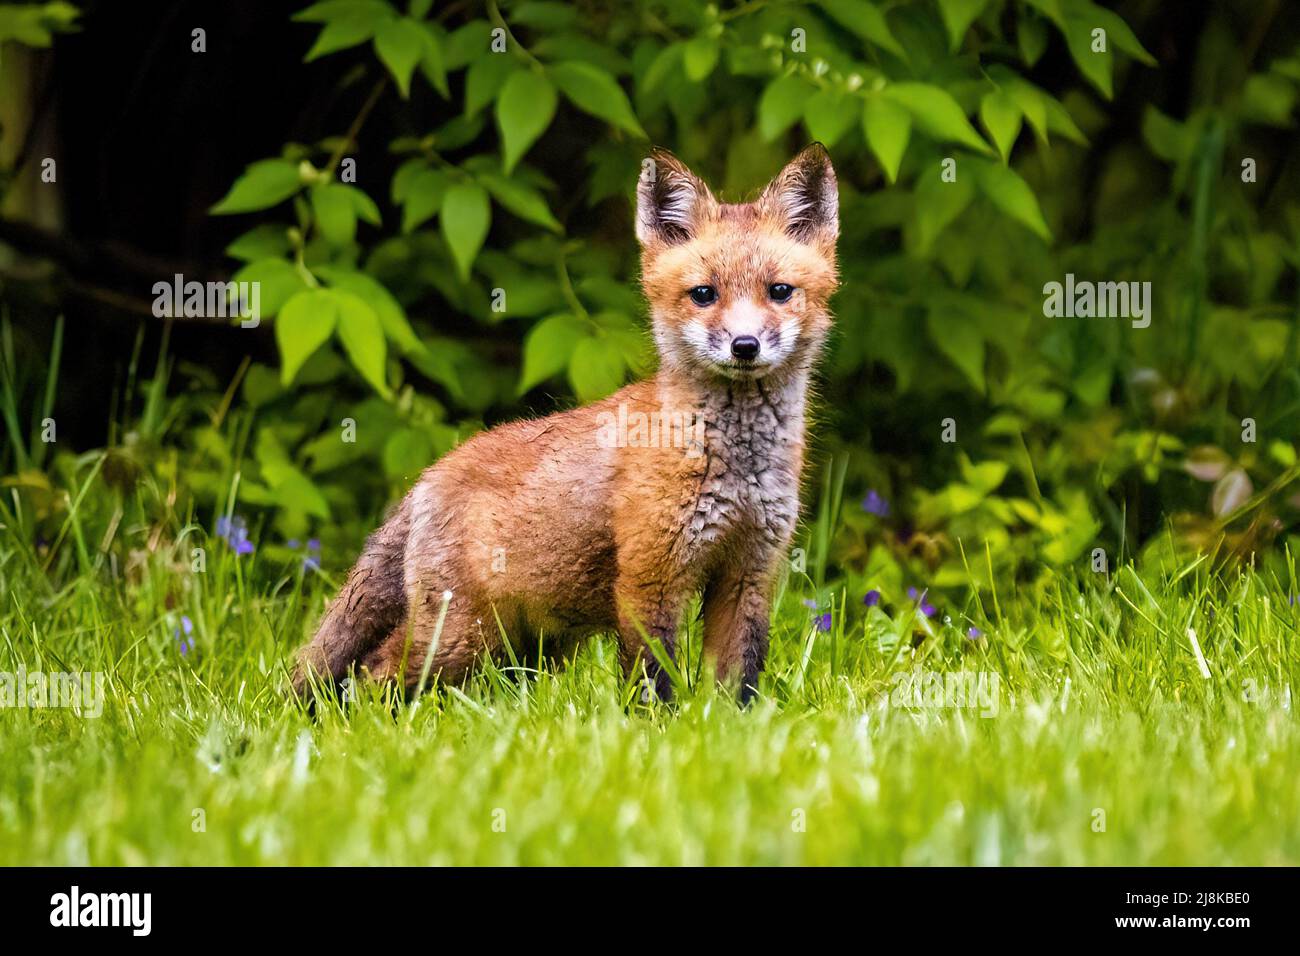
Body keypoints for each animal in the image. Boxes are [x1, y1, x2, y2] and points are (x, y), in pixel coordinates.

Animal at [291, 143, 839, 705]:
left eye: (779, 291)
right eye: (704, 294)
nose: (744, 346)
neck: (737, 465)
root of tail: (426, 478)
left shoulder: (749, 572)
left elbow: (738, 682)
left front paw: (732, 723)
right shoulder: (650, 576)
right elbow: (651, 680)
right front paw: (658, 725)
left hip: (525, 647)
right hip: (459, 638)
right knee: (372, 675)